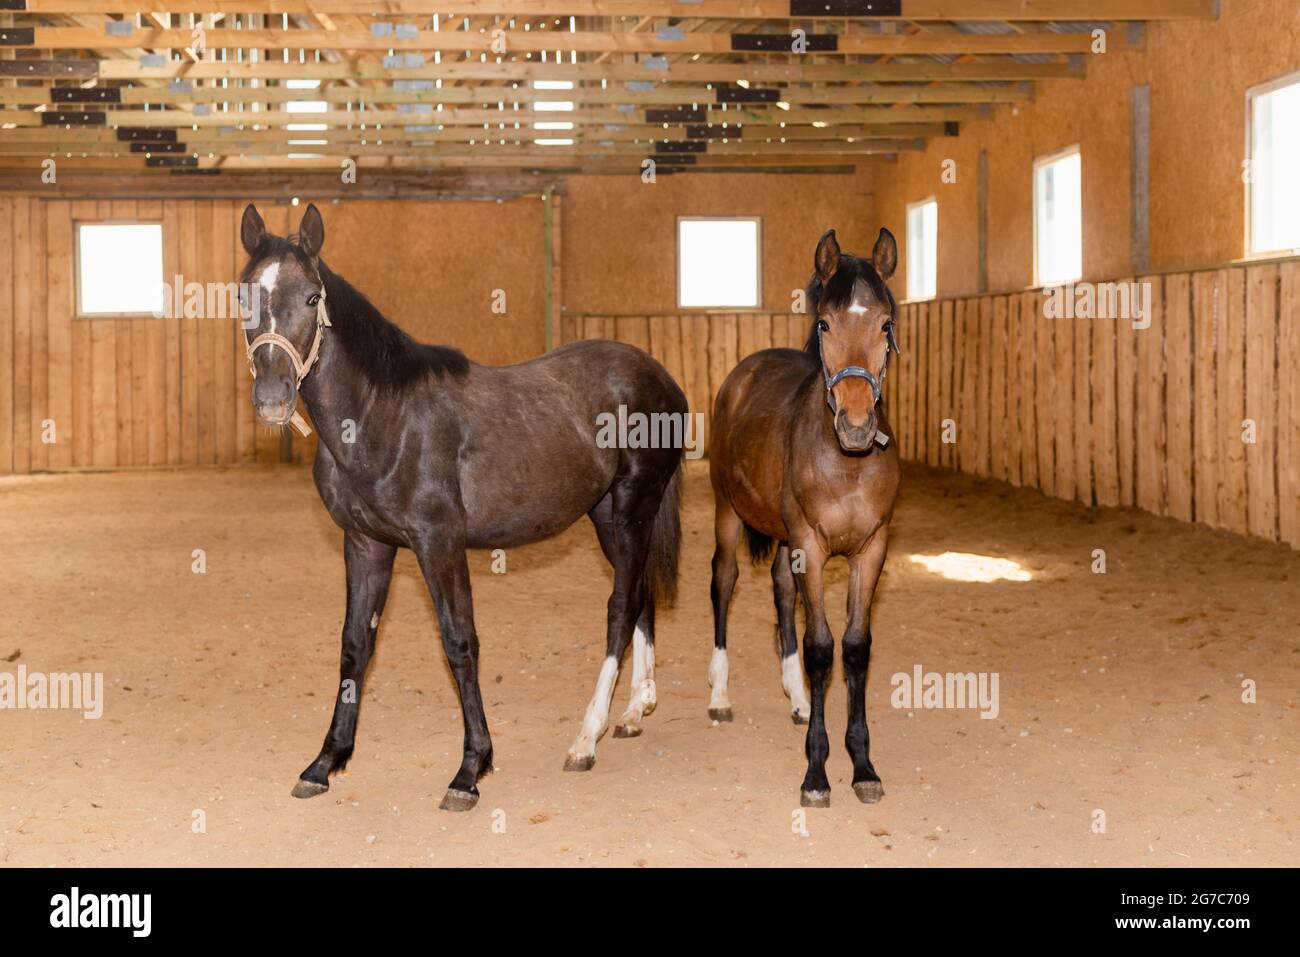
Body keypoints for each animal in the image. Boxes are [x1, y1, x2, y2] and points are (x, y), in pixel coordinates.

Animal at [237, 203, 687, 811]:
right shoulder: (367, 545)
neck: (383, 415)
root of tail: (661, 379)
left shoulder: (439, 542)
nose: (272, 400)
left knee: (621, 607)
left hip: (636, 507)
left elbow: (459, 642)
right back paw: (635, 711)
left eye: (312, 297)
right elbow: (355, 645)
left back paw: (586, 738)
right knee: (639, 596)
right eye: (244, 295)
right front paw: (325, 762)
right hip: (609, 518)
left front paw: (471, 769)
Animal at [705, 227, 902, 808]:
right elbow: (820, 648)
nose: (857, 424)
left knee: (779, 588)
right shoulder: (810, 546)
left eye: (886, 323)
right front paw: (816, 772)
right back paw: (719, 694)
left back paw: (795, 697)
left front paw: (863, 765)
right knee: (724, 582)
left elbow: (855, 648)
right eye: (824, 323)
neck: (847, 462)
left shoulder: (871, 549)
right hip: (727, 511)